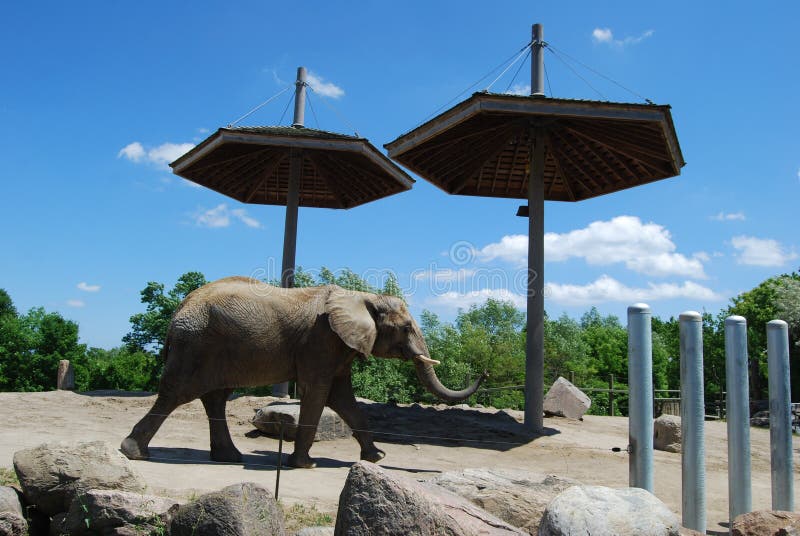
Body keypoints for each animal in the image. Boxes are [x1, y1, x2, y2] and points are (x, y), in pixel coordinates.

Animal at [120, 276, 487, 468]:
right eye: (407, 327)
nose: (482, 373)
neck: (362, 296)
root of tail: (179, 308)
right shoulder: (320, 341)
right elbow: (318, 392)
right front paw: (305, 464)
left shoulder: (338, 347)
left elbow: (344, 399)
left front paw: (376, 458)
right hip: (196, 343)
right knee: (177, 392)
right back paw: (133, 452)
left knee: (216, 398)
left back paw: (228, 457)